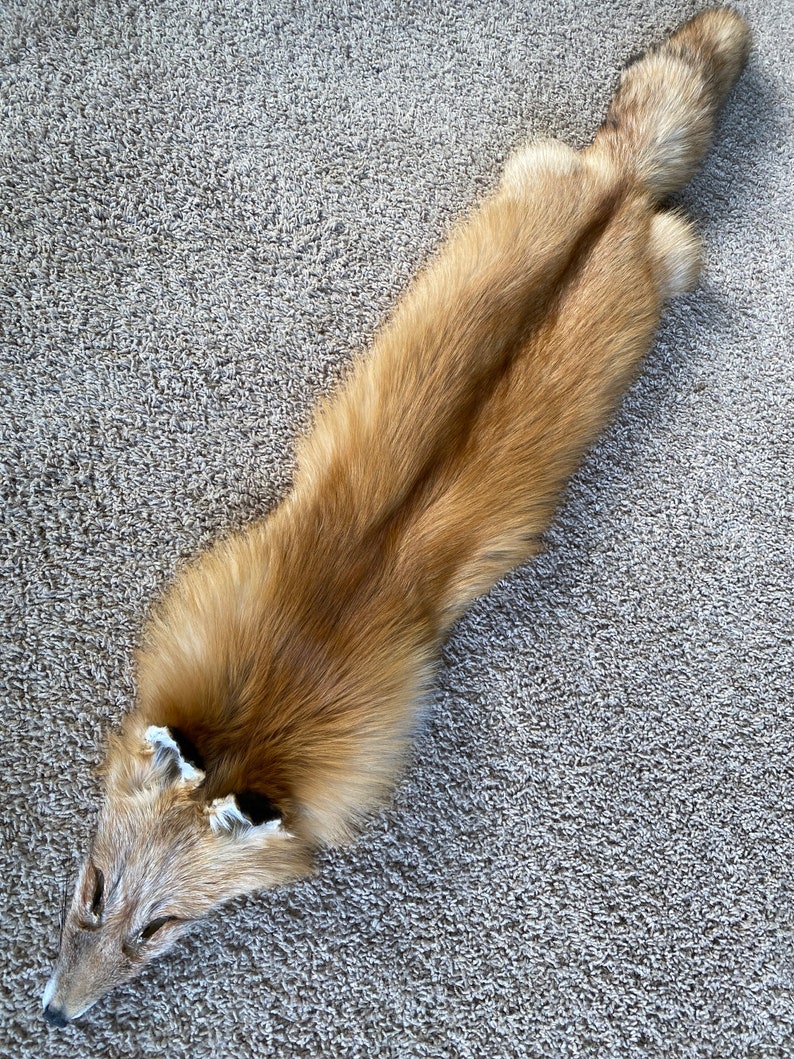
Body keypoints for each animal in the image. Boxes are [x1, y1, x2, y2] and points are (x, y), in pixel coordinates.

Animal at [42, 7, 750, 1027]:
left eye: (159, 928)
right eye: (95, 890)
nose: (56, 1016)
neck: (283, 678)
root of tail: (618, 187)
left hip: (676, 257)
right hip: (531, 168)